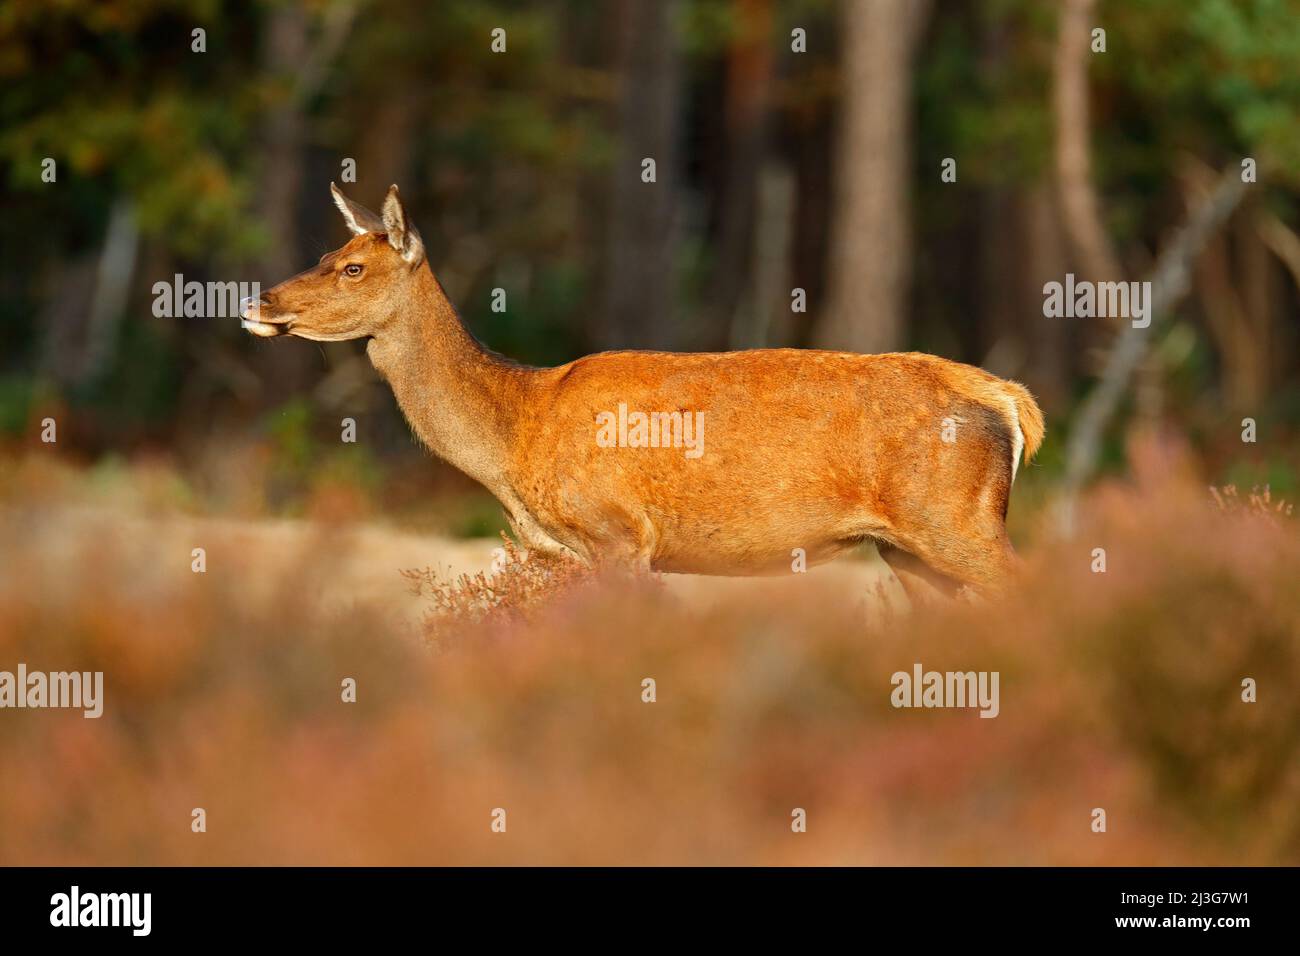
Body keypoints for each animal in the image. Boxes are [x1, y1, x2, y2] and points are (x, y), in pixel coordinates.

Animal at [241, 184, 1044, 606]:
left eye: (352, 267)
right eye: (326, 253)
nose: (257, 300)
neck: (515, 433)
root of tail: (1007, 397)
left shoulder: (618, 533)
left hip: (957, 522)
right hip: (908, 548)